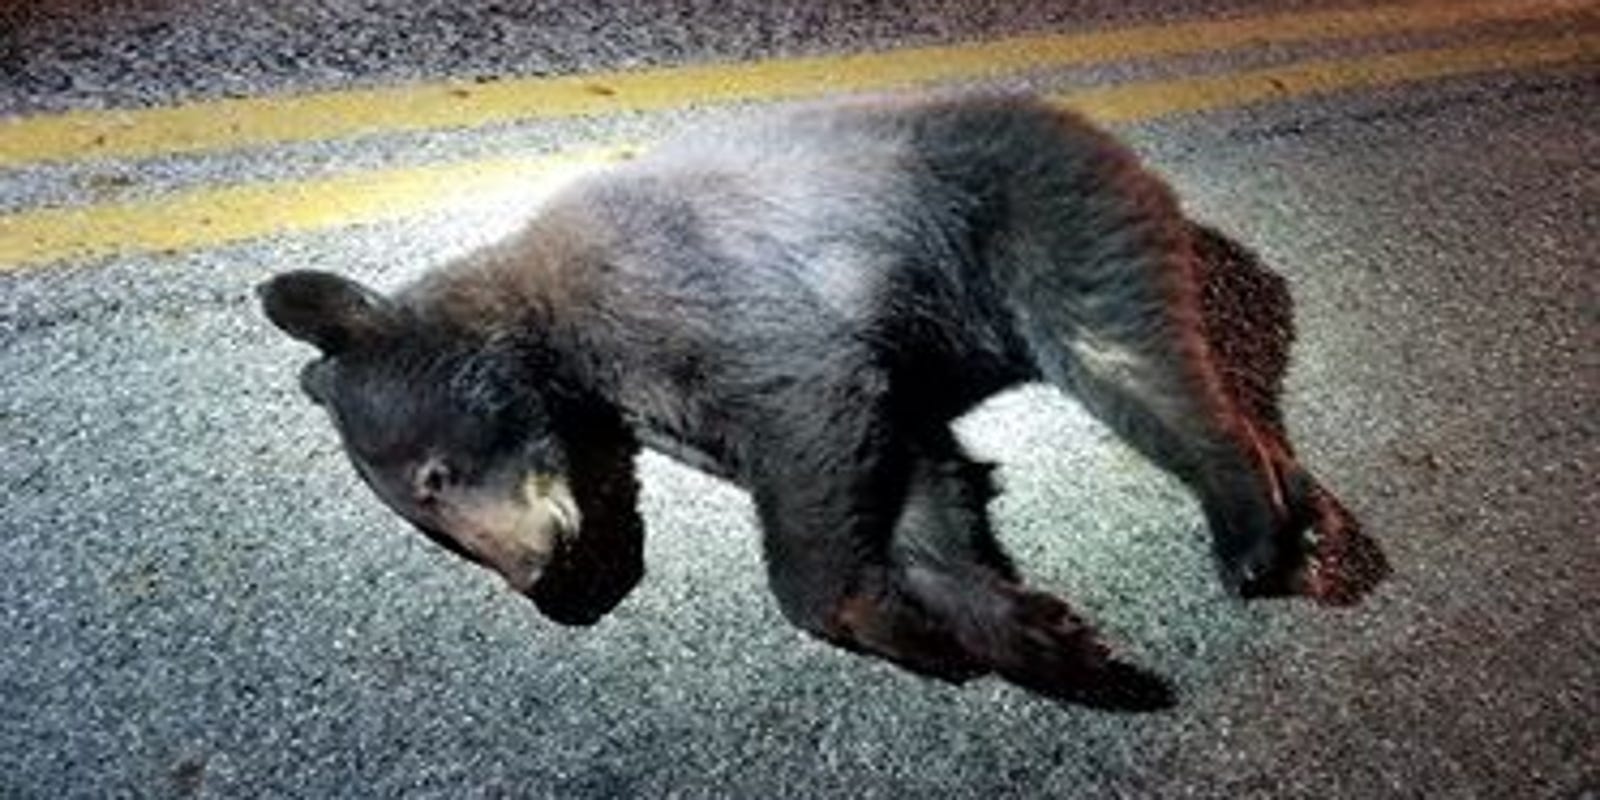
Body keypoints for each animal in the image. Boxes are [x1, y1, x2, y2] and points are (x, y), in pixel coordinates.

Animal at [259, 92, 1385, 710]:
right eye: (435, 524)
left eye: (433, 481)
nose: (541, 577)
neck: (552, 329)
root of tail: (1101, 129)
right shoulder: (684, 407)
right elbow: (908, 470)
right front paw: (1028, 629)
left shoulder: (698, 293)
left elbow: (810, 412)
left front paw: (882, 615)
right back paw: (1295, 515)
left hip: (1048, 217)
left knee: (1136, 361)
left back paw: (1250, 525)